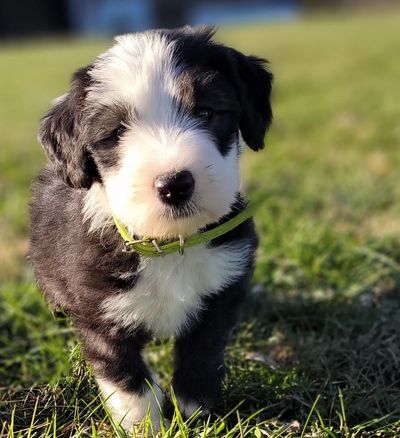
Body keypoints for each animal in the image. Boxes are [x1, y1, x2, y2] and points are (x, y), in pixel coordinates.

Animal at [29, 25, 274, 430]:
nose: (174, 184)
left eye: (205, 111)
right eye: (115, 133)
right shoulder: (101, 312)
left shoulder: (219, 292)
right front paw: (145, 425)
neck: (170, 244)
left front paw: (194, 413)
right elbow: (126, 377)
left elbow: (202, 356)